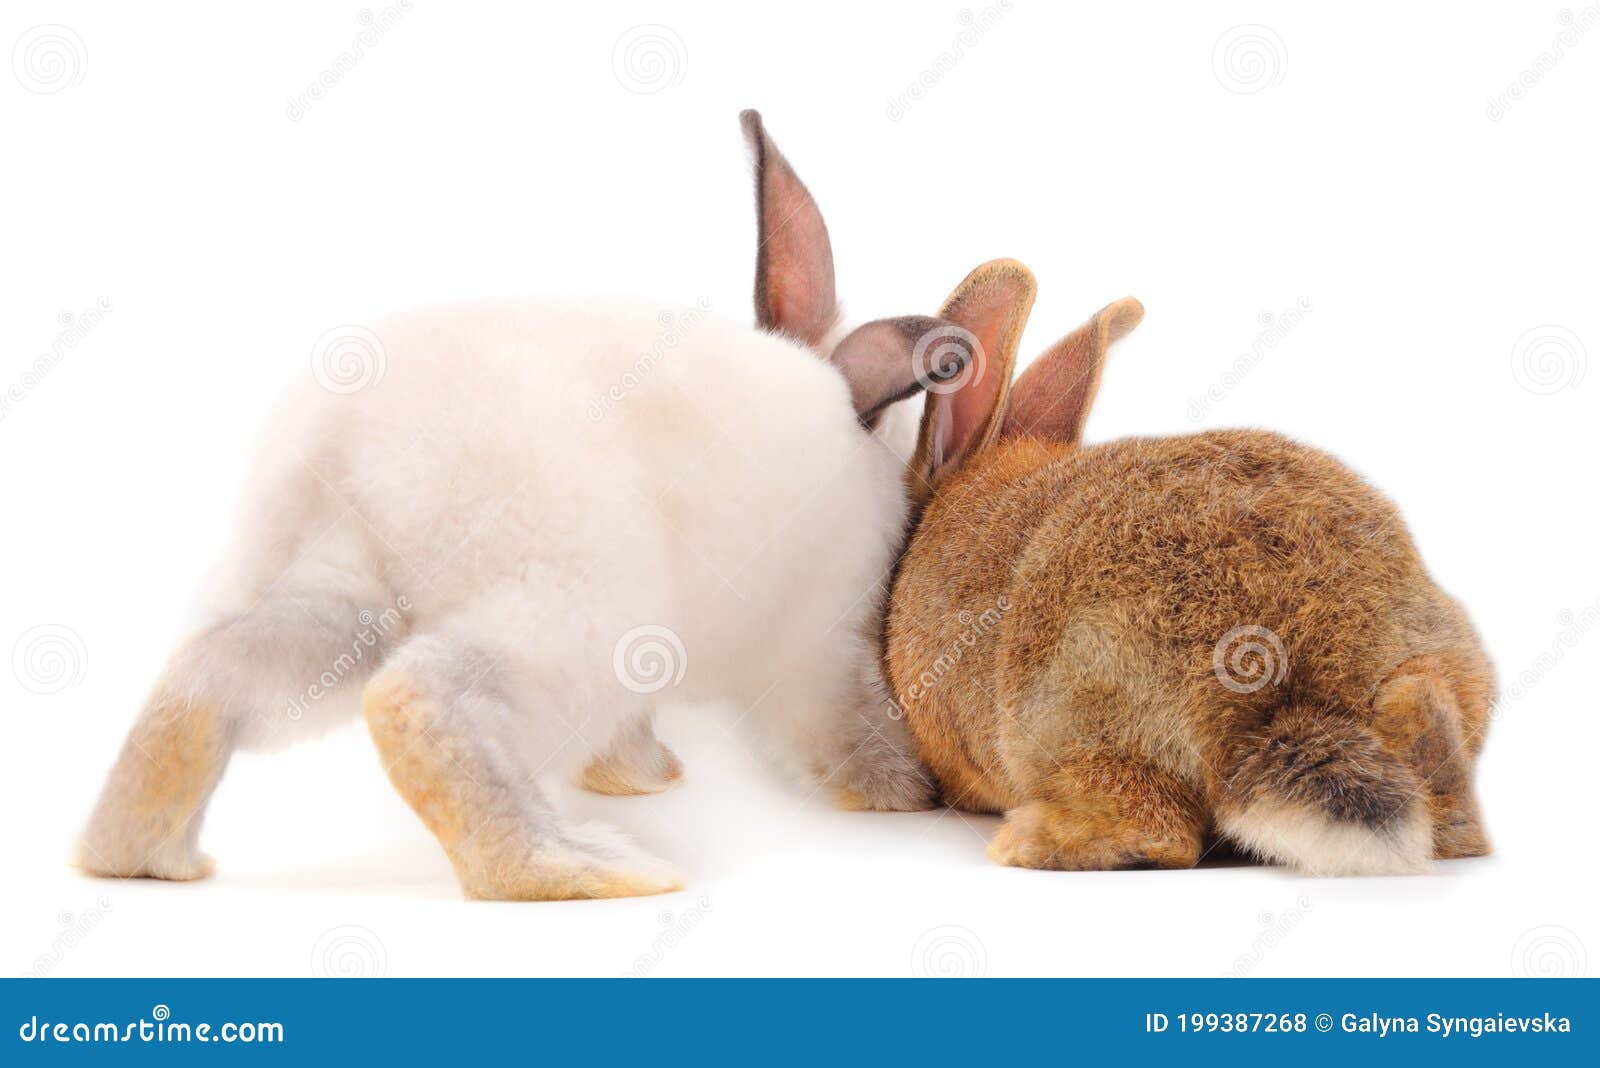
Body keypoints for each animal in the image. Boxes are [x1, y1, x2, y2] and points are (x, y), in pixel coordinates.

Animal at [77, 111, 969, 900]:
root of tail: (351, 440)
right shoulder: (819, 655)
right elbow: (847, 732)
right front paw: (901, 793)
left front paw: (642, 776)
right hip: (579, 619)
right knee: (419, 699)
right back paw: (582, 871)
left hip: (341, 600)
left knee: (208, 676)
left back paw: (138, 860)